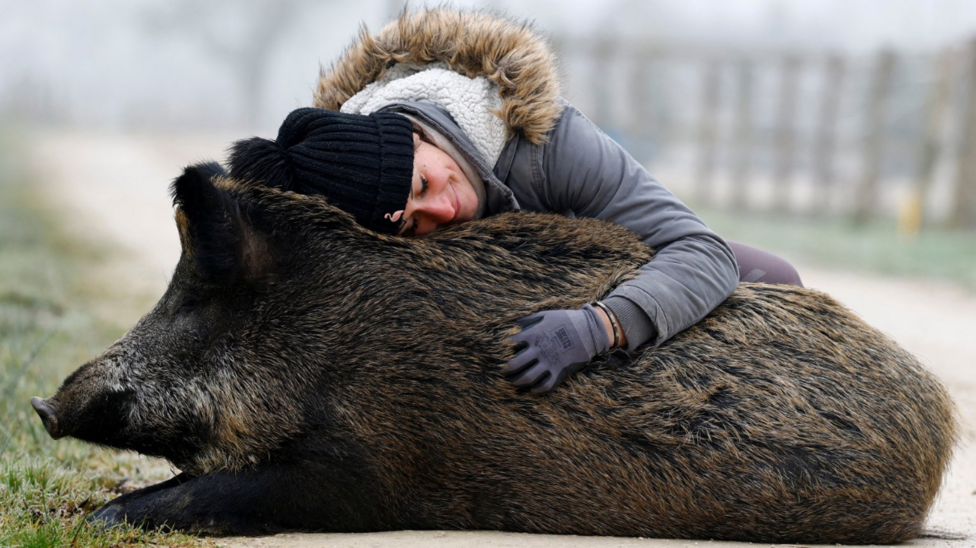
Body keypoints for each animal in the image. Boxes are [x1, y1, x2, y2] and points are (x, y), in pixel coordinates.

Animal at [32, 163, 956, 543]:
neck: (323, 336)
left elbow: (211, 492)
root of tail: (942, 420)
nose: (42, 404)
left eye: (196, 298)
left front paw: (95, 519)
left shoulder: (367, 471)